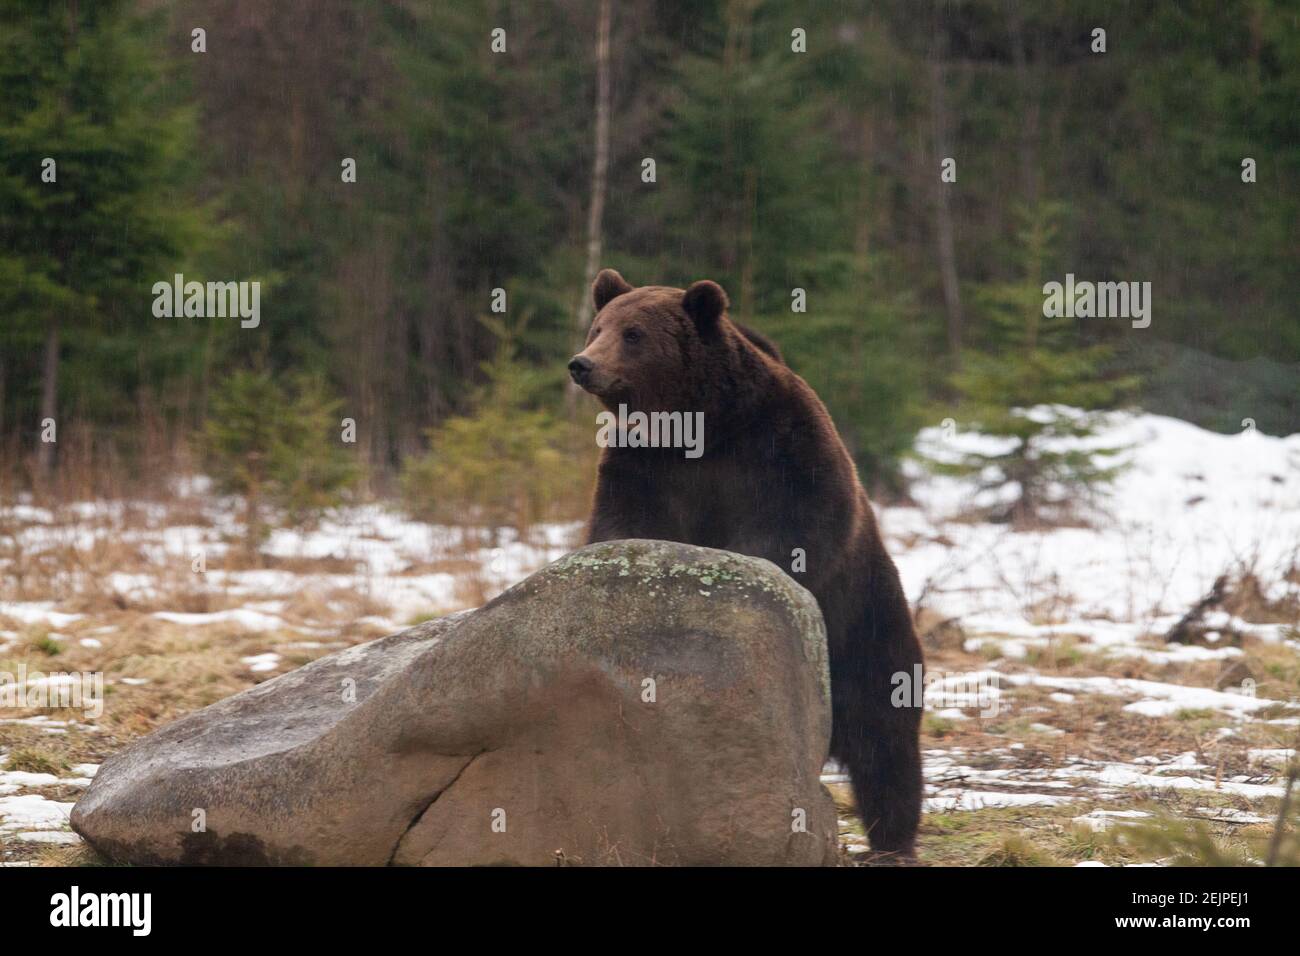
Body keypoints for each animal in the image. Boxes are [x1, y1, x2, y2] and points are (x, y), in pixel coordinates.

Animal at [568, 268, 925, 858]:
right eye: (598, 327)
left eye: (633, 334)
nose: (582, 363)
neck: (697, 424)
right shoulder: (643, 467)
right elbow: (622, 524)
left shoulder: (776, 446)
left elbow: (800, 524)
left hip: (869, 629)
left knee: (885, 742)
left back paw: (891, 842)